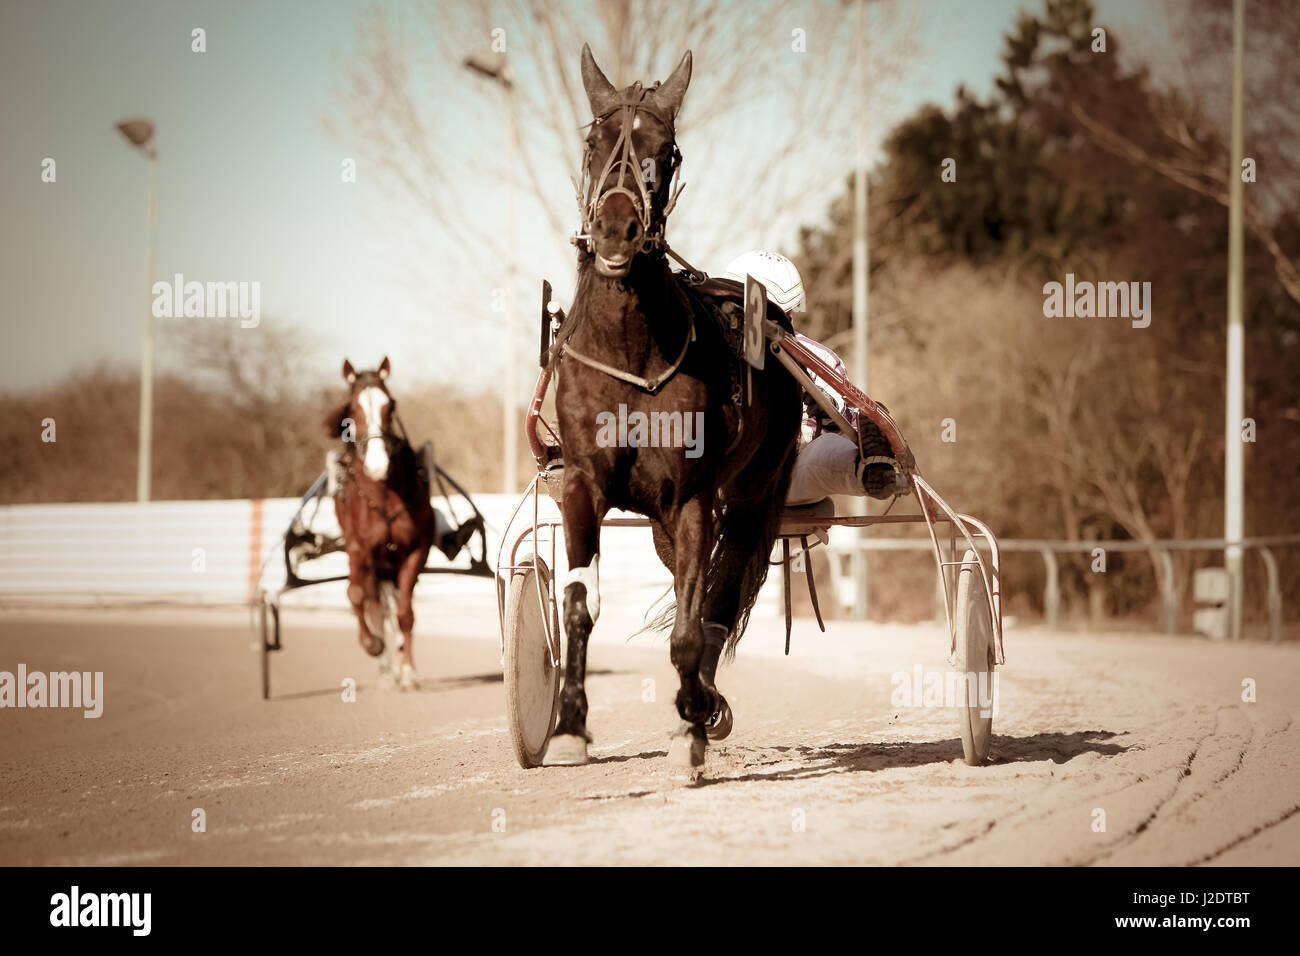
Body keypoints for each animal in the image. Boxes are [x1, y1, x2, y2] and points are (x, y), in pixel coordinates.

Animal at [325, 357, 436, 691]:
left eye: (390, 405)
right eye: (352, 407)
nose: (377, 464)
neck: (384, 493)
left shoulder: (415, 550)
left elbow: (404, 612)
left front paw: (409, 671)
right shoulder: (358, 550)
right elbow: (356, 596)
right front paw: (373, 645)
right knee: (371, 603)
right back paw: (385, 667)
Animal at [547, 45, 802, 769]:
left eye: (669, 150)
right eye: (594, 142)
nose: (616, 229)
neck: (630, 353)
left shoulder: (691, 498)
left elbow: (691, 621)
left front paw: (692, 720)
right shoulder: (583, 485)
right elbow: (579, 603)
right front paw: (569, 725)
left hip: (751, 493)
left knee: (722, 587)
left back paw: (703, 701)